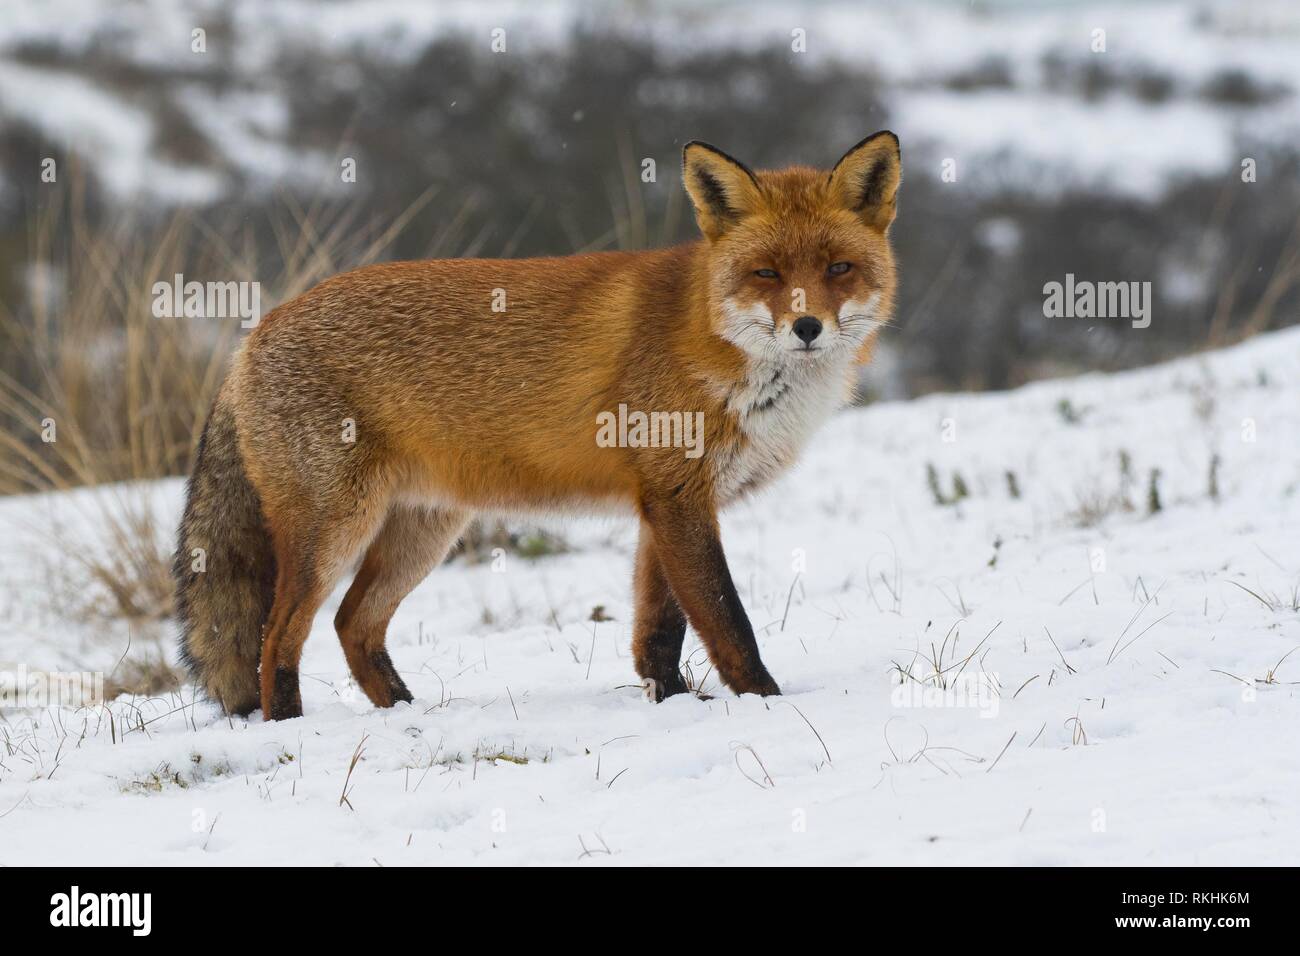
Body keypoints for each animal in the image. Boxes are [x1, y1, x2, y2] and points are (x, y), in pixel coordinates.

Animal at [174, 131, 901, 720]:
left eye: (838, 268)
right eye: (766, 273)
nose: (807, 327)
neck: (718, 345)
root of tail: (251, 336)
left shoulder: (664, 504)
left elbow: (659, 632)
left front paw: (670, 704)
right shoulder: (678, 500)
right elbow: (728, 621)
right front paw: (767, 705)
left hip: (423, 531)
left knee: (353, 624)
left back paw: (405, 715)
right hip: (334, 529)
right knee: (277, 639)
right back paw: (289, 727)